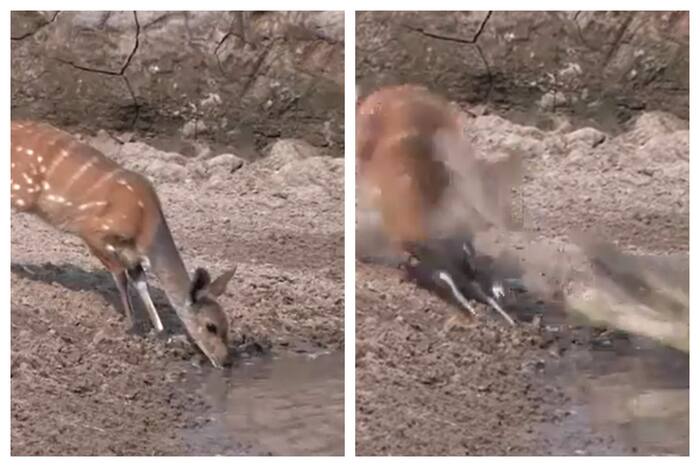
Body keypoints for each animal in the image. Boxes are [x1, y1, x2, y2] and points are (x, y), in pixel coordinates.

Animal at [10, 120, 237, 368]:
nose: (225, 361)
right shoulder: (92, 233)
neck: (145, 225)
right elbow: (120, 276)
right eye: (211, 326)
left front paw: (161, 331)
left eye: (227, 325)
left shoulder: (131, 255)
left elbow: (141, 282)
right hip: (19, 192)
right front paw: (132, 326)